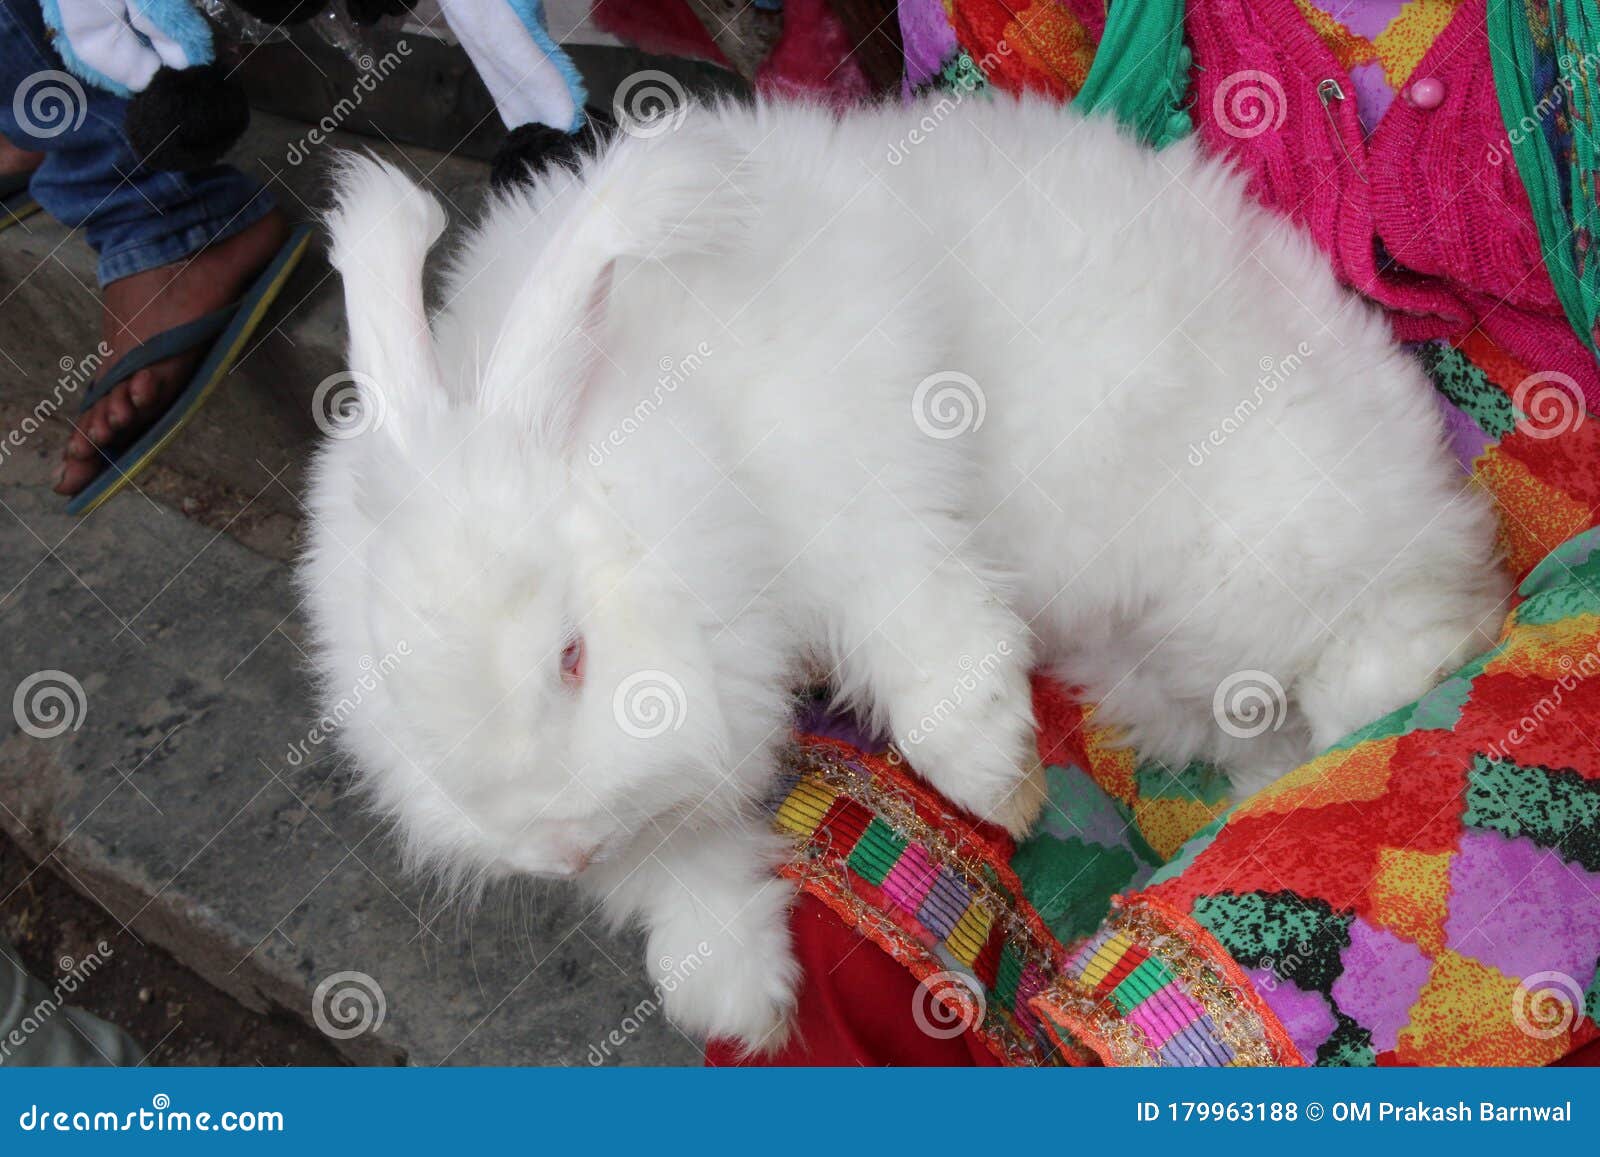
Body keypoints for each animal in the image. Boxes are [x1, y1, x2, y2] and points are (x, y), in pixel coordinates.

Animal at [299, 92, 1508, 1053]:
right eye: (400, 703)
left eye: (569, 655)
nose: (560, 848)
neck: (664, 434)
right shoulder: (679, 771)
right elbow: (686, 880)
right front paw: (741, 1002)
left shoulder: (869, 492)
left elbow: (927, 646)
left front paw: (995, 781)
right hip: (1180, 663)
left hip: (1261, 554)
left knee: (1409, 620)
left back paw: (1402, 669)